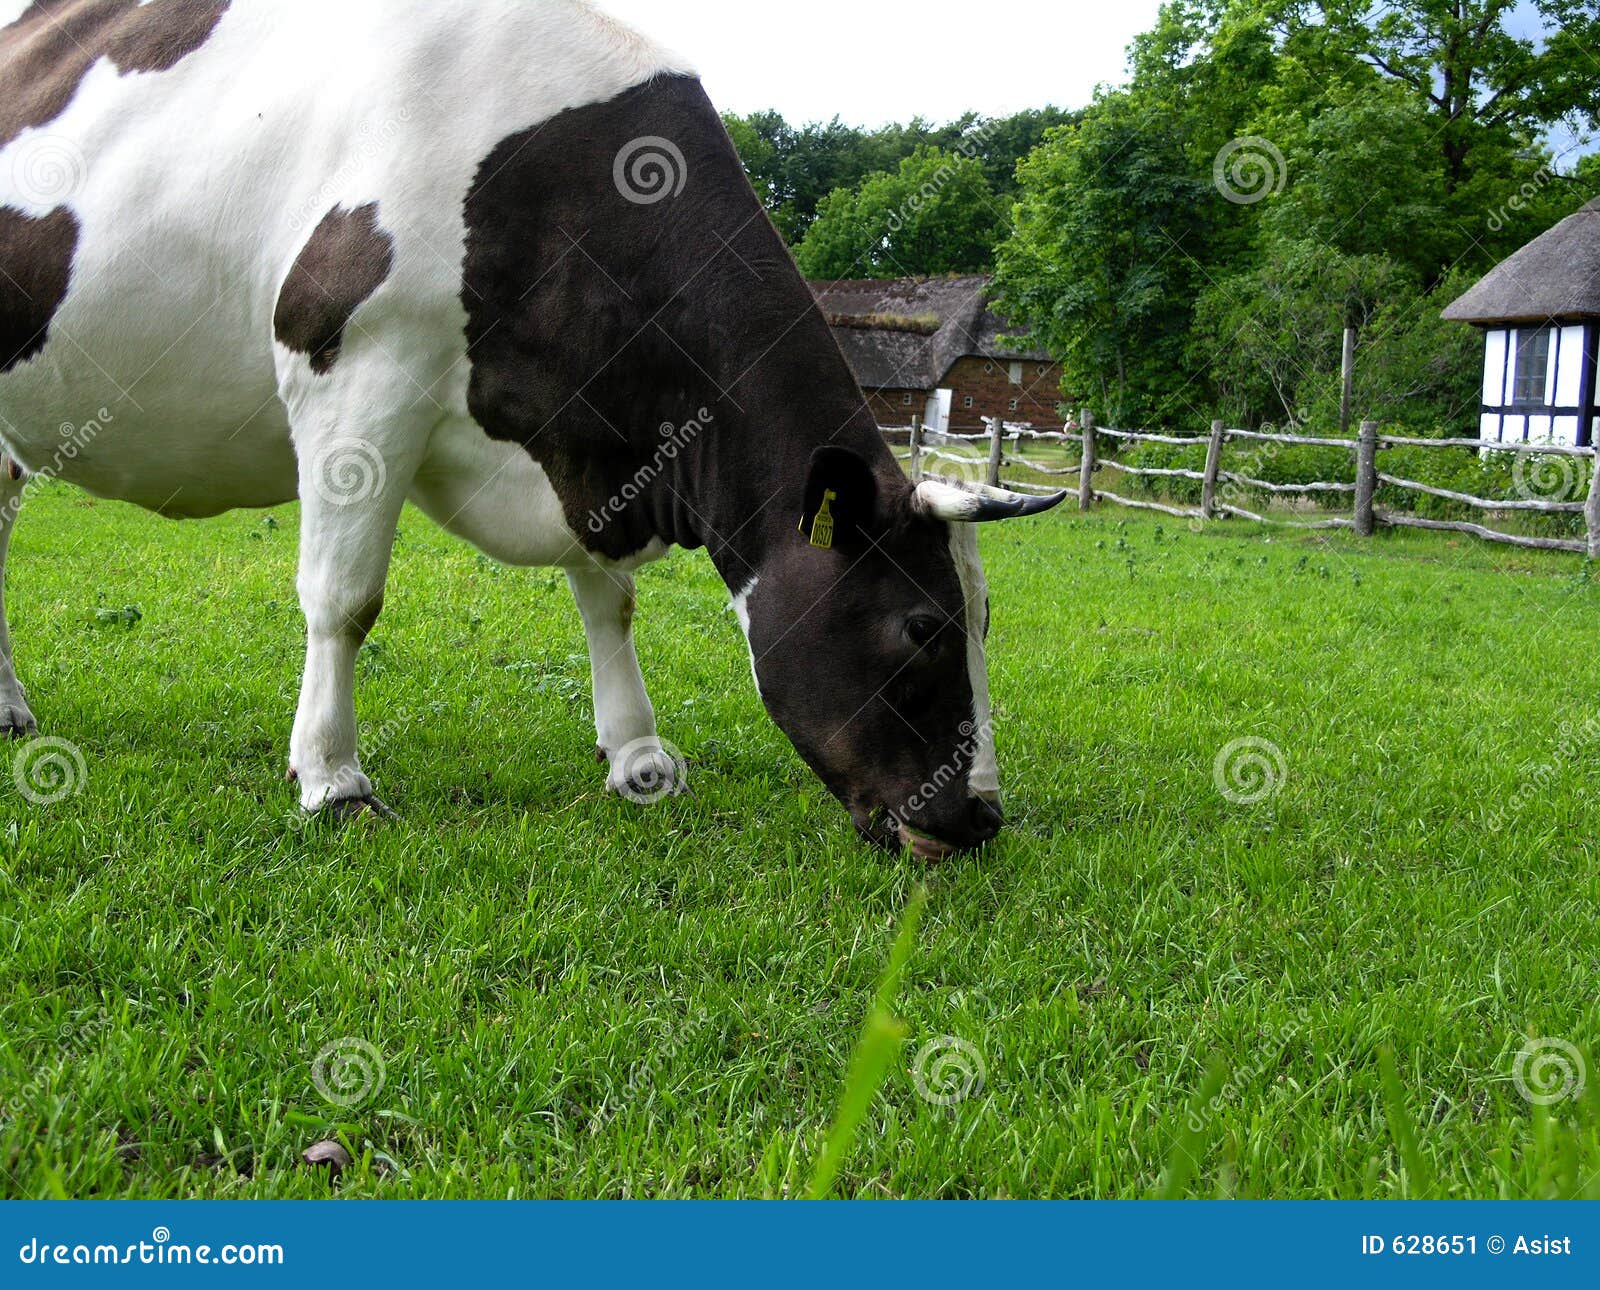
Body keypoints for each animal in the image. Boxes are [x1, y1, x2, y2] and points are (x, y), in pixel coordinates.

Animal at [0, 0, 1063, 858]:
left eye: (984, 621)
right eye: (922, 627)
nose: (979, 817)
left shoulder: (593, 448)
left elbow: (610, 603)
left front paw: (637, 756)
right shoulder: (357, 373)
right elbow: (344, 599)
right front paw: (333, 781)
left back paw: (11, 709)